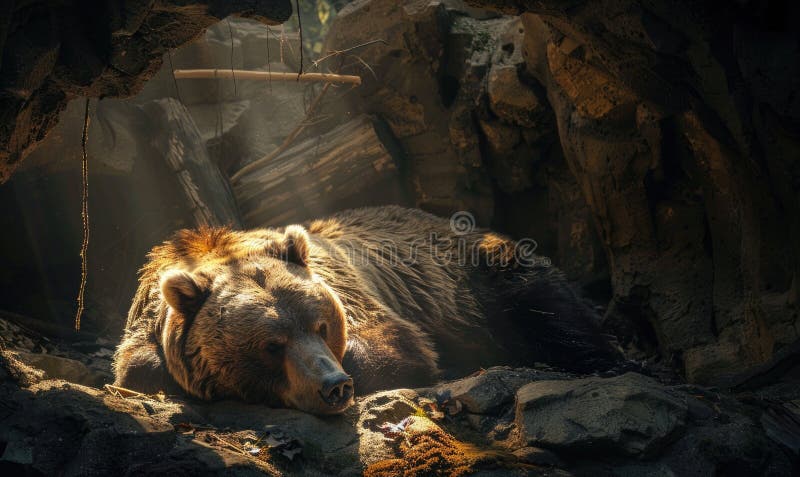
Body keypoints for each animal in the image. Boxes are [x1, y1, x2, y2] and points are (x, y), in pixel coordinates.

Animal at [113, 206, 623, 414]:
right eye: (271, 345)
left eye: (322, 324)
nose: (333, 386)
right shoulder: (145, 319)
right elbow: (139, 366)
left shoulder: (355, 289)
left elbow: (398, 345)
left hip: (481, 277)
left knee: (554, 310)